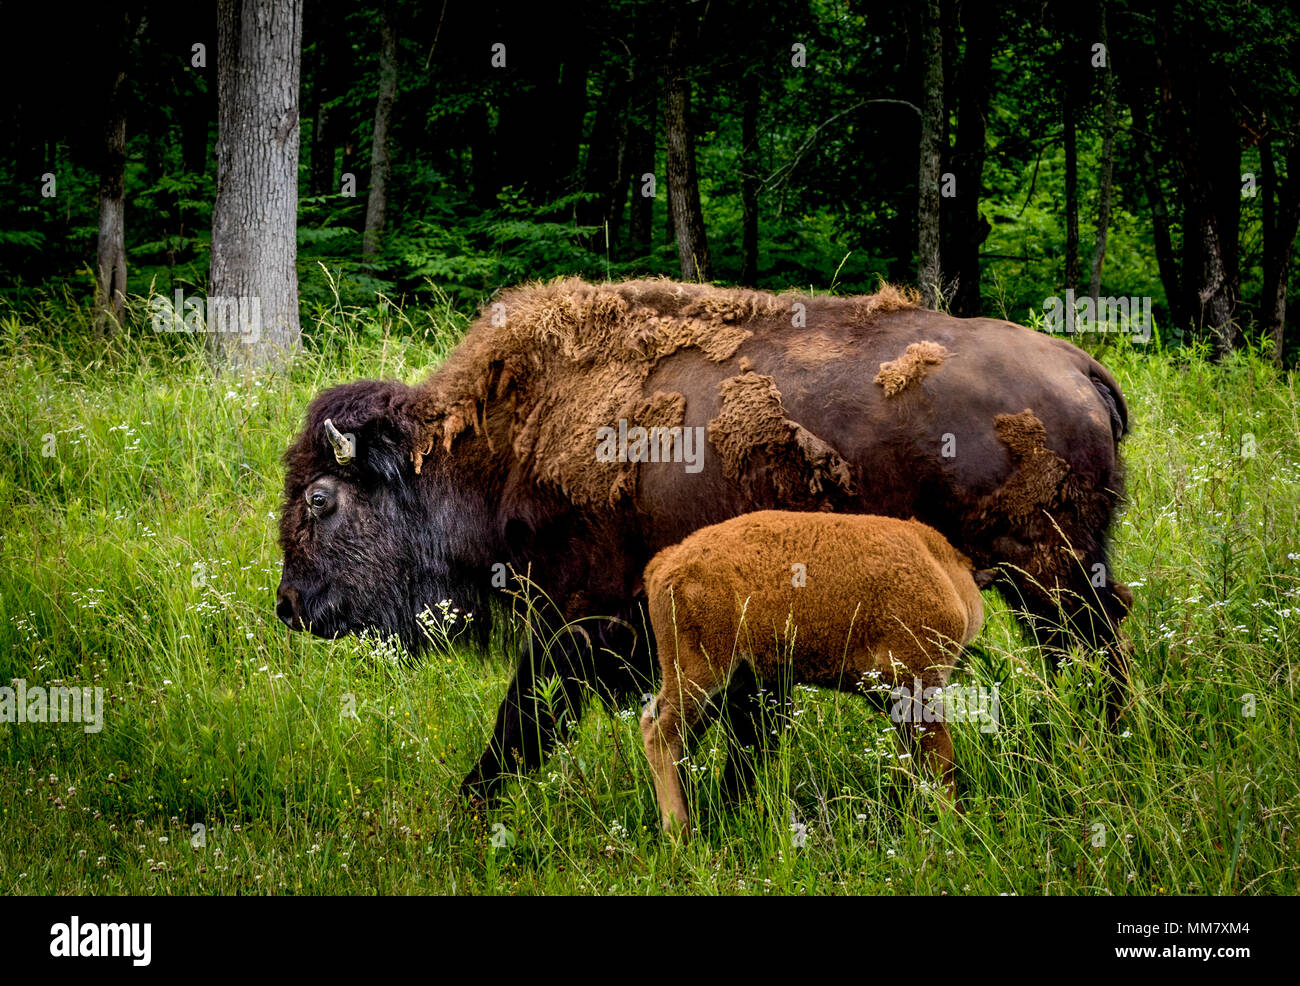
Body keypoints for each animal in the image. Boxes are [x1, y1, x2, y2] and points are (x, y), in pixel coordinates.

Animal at [276, 277, 1133, 804]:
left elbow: (523, 719)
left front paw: (468, 806)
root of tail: (1078, 365)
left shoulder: (580, 620)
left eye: (320, 499)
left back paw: (1098, 746)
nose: (289, 606)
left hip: (1050, 574)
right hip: (1053, 576)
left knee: (1094, 647)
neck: (508, 444)